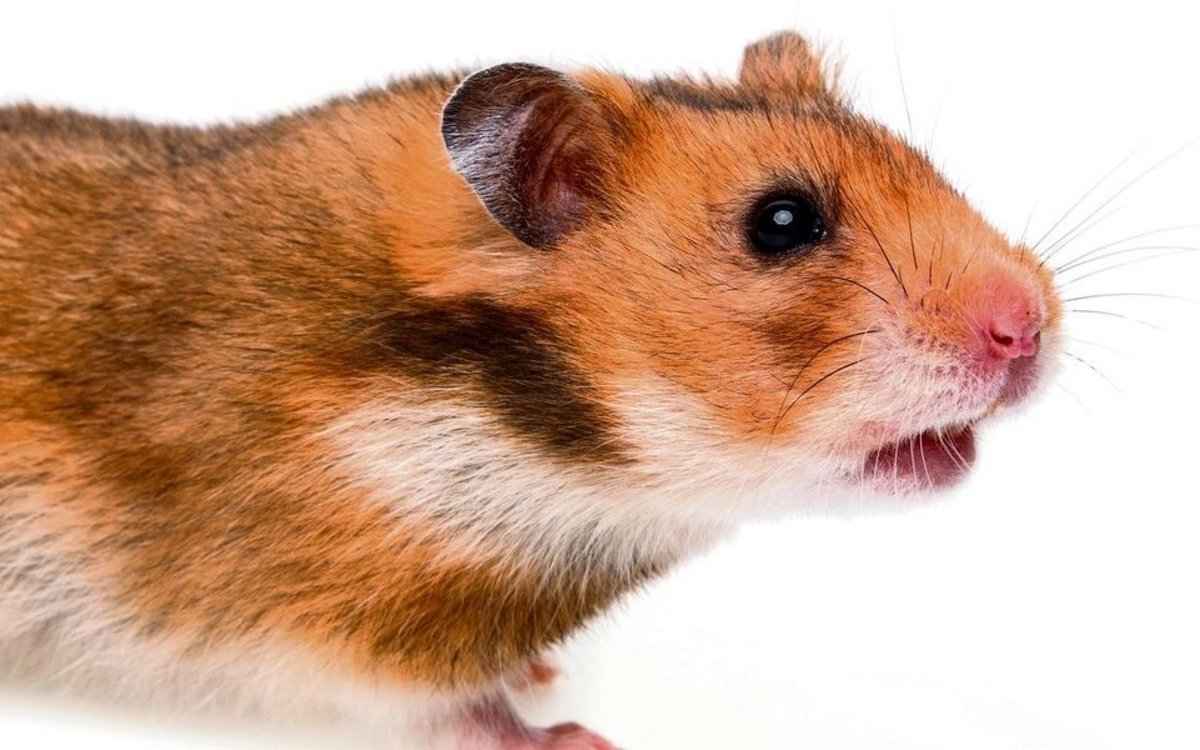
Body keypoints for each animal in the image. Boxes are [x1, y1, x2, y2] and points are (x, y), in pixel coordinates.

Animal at [0, 31, 1061, 749]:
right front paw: (578, 735)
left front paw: (547, 672)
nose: (1031, 326)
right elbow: (457, 712)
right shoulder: (336, 633)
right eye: (783, 221)